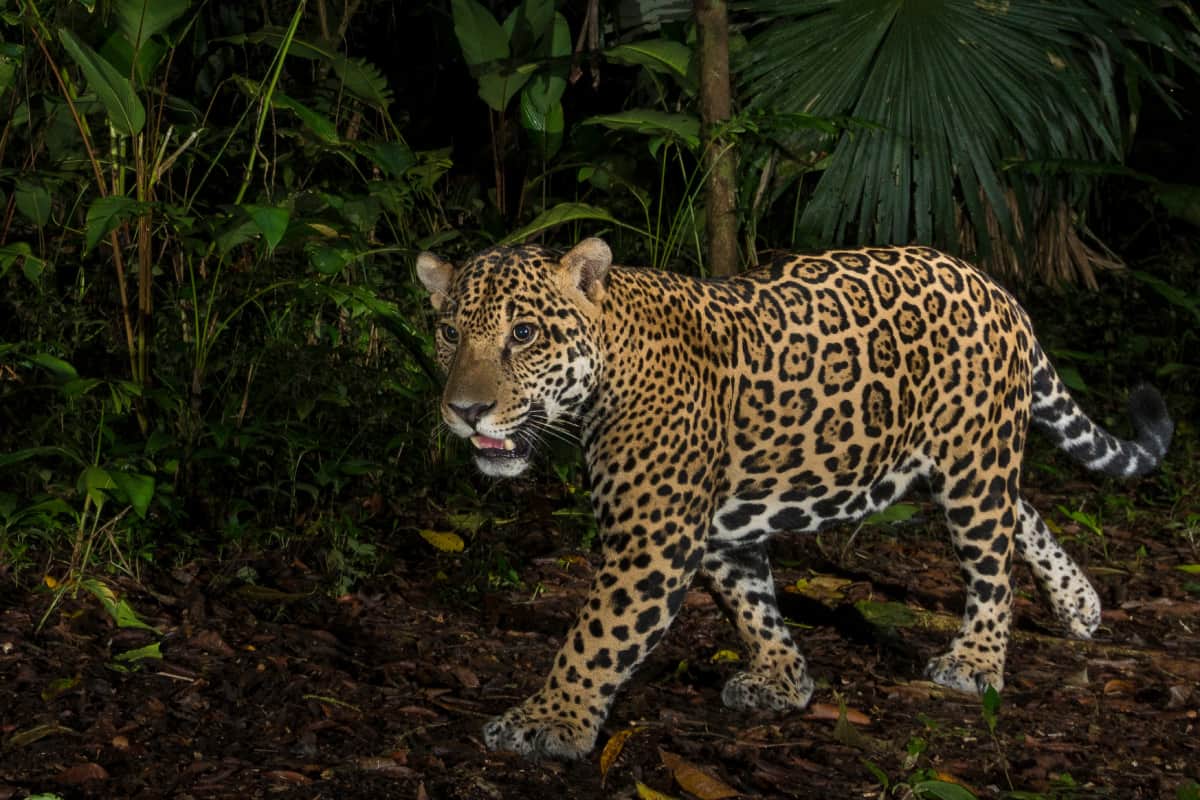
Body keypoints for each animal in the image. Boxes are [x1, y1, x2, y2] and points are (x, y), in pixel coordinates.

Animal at [416, 237, 1173, 760]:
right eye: (449, 333)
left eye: (523, 334)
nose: (464, 411)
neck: (611, 366)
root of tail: (995, 287)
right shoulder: (719, 526)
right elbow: (752, 604)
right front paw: (783, 680)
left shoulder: (653, 541)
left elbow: (595, 637)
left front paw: (549, 720)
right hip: (964, 461)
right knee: (1024, 512)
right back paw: (1080, 604)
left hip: (970, 465)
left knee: (992, 567)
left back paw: (977, 662)